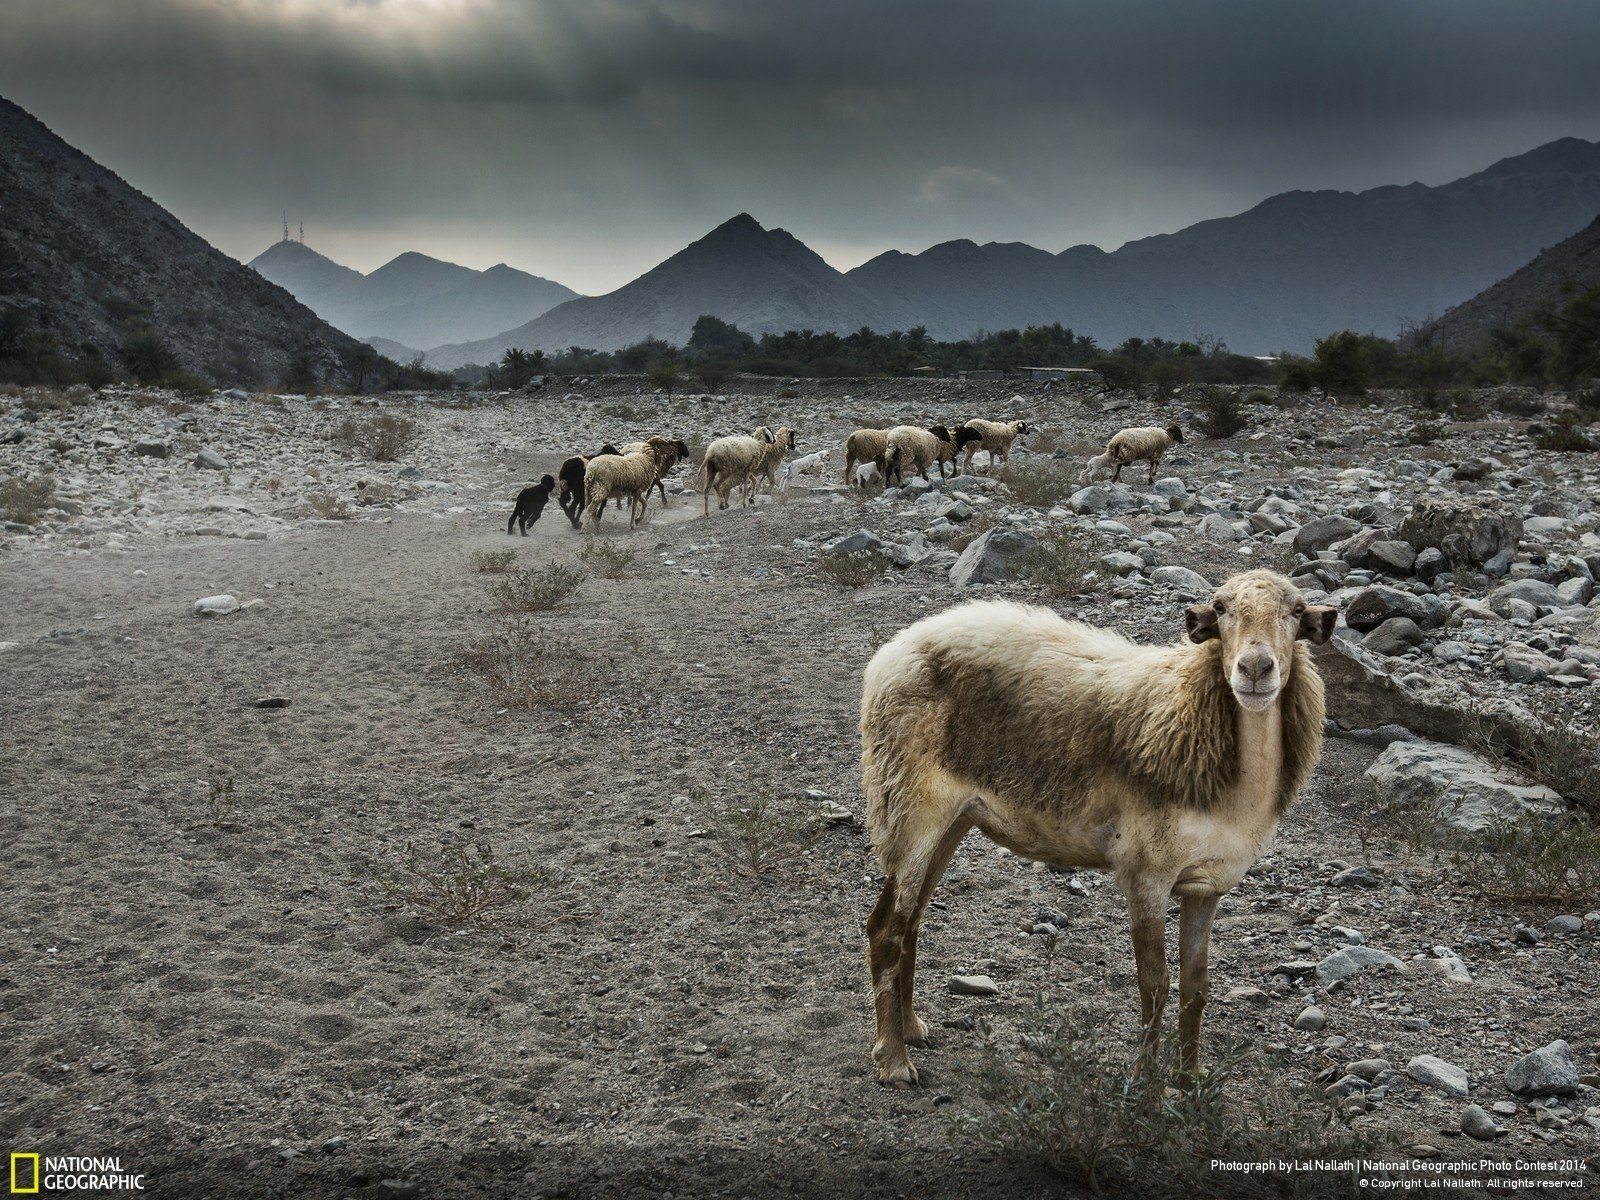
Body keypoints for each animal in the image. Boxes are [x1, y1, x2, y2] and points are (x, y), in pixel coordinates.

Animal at [860, 569, 1334, 1087]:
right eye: (1222, 609)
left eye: (1296, 611)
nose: (1254, 668)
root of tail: (892, 652)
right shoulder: (1145, 874)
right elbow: (1155, 986)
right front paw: (1146, 1086)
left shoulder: (1206, 885)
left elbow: (1196, 987)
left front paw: (1190, 1083)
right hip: (913, 807)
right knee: (886, 928)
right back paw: (893, 1060)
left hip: (954, 818)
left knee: (912, 921)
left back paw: (910, 1027)